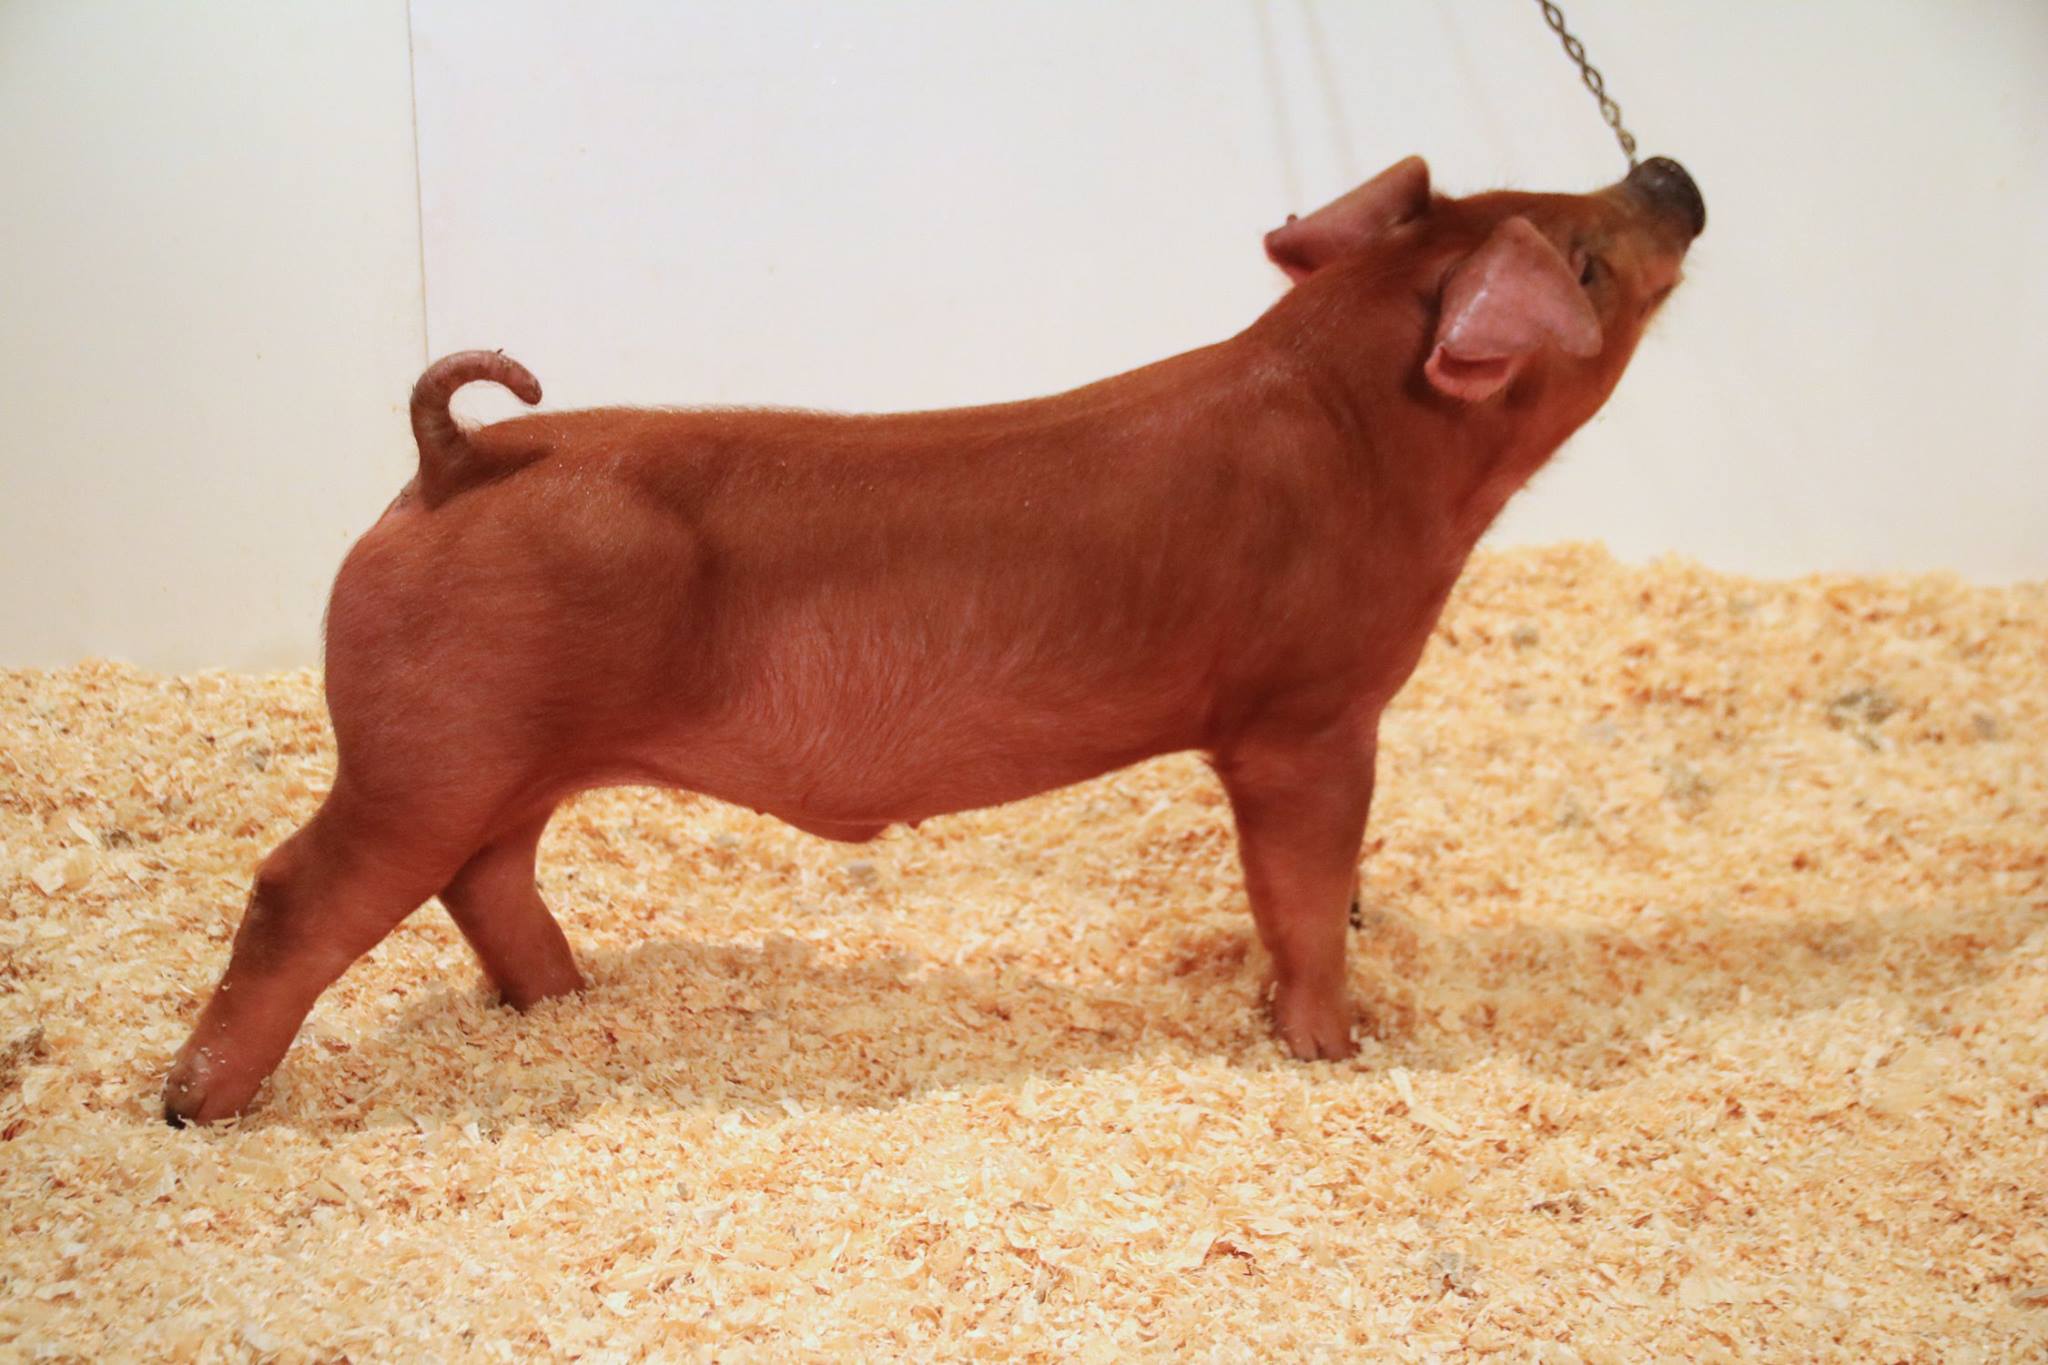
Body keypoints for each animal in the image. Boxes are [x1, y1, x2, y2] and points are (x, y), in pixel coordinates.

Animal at [164, 155, 1704, 1124]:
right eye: (1579, 258)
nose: (1672, 172)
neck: (1363, 434)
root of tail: (449, 461)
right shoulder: (1305, 716)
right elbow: (1303, 893)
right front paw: (1334, 1048)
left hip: (503, 759)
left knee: (484, 878)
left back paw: (567, 1000)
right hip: (429, 749)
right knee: (300, 888)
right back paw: (196, 1110)